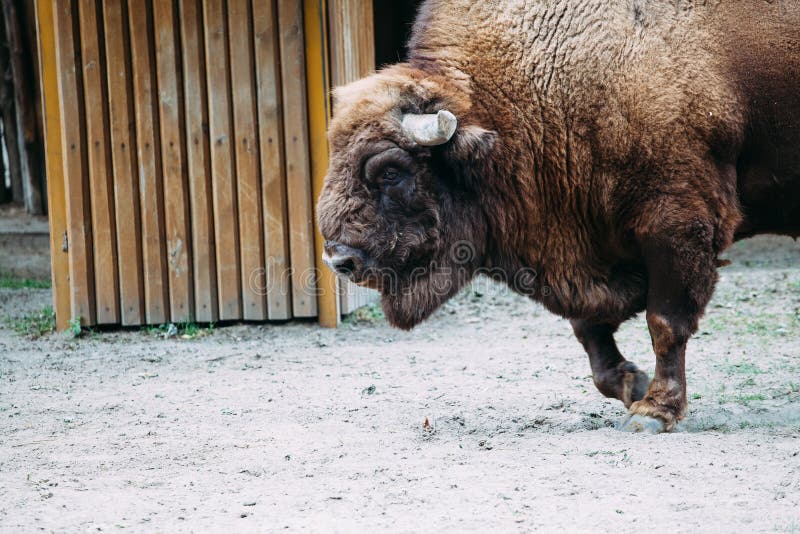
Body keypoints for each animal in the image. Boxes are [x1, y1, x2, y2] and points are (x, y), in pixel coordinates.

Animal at [316, 0, 800, 433]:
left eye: (391, 171)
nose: (341, 260)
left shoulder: (676, 226)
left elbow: (665, 323)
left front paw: (653, 411)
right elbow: (590, 334)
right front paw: (633, 384)